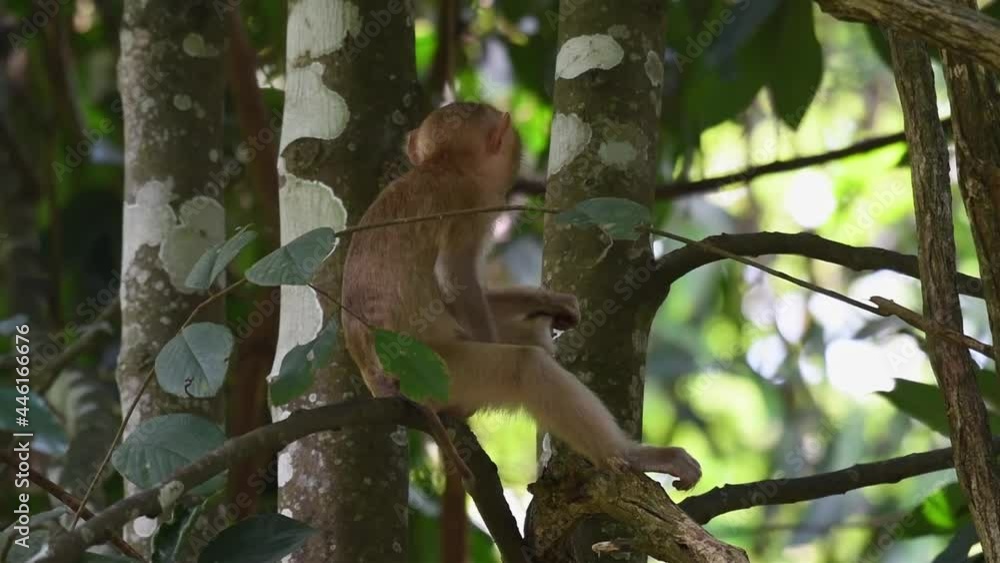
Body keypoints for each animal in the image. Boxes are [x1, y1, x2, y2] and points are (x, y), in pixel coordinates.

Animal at [341, 102, 701, 489]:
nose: (518, 155)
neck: (441, 165)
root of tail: (378, 380)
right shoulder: (473, 203)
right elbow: (454, 279)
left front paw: (552, 303)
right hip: (439, 373)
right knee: (524, 366)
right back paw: (631, 455)